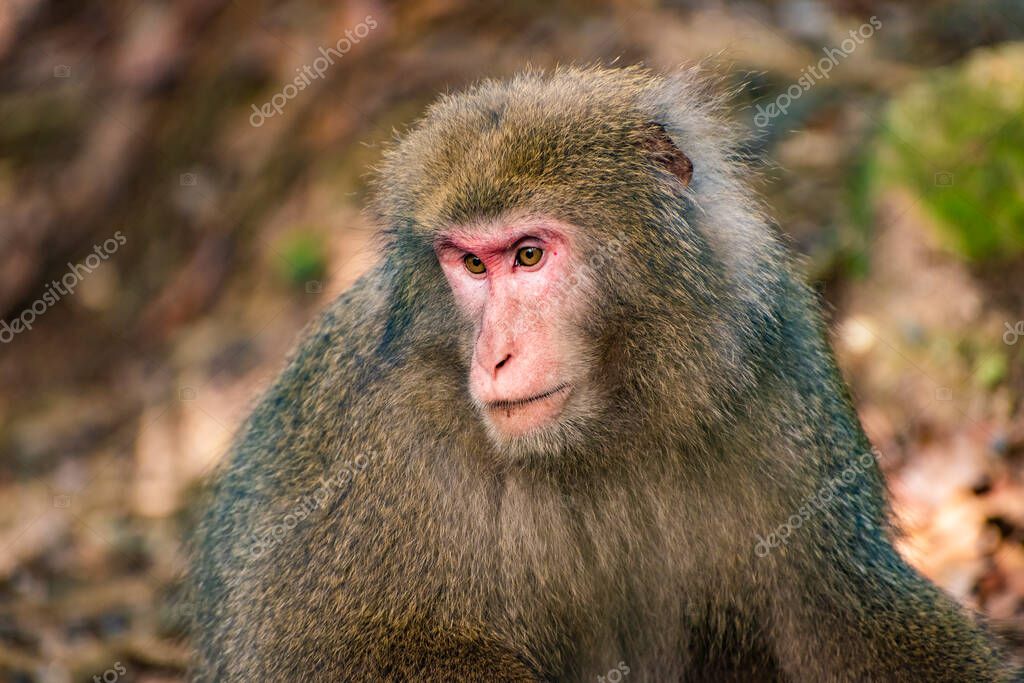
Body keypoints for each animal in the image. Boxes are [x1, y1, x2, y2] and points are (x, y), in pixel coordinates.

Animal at [190, 66, 1019, 681]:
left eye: (528, 255)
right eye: (470, 265)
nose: (494, 355)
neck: (602, 430)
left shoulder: (773, 361)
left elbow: (850, 616)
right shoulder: (370, 435)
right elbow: (324, 651)